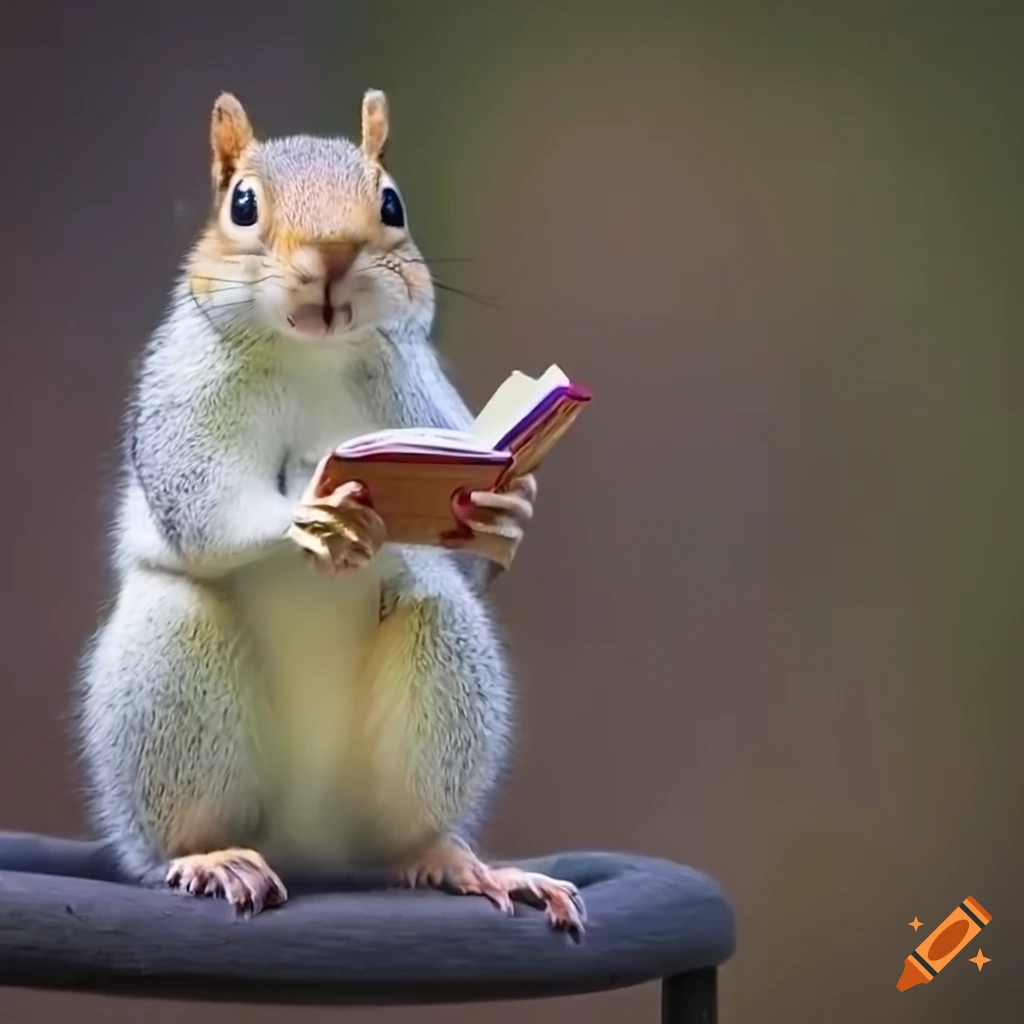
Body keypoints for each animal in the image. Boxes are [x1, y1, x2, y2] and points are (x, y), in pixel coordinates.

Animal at [76, 89, 584, 935]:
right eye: (241, 204)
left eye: (392, 202)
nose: (332, 256)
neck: (310, 352)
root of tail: (308, 843)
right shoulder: (184, 391)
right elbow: (203, 497)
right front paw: (310, 514)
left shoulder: (418, 397)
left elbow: (472, 560)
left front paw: (506, 507)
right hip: (168, 670)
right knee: (179, 828)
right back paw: (210, 857)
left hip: (439, 670)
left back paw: (458, 862)